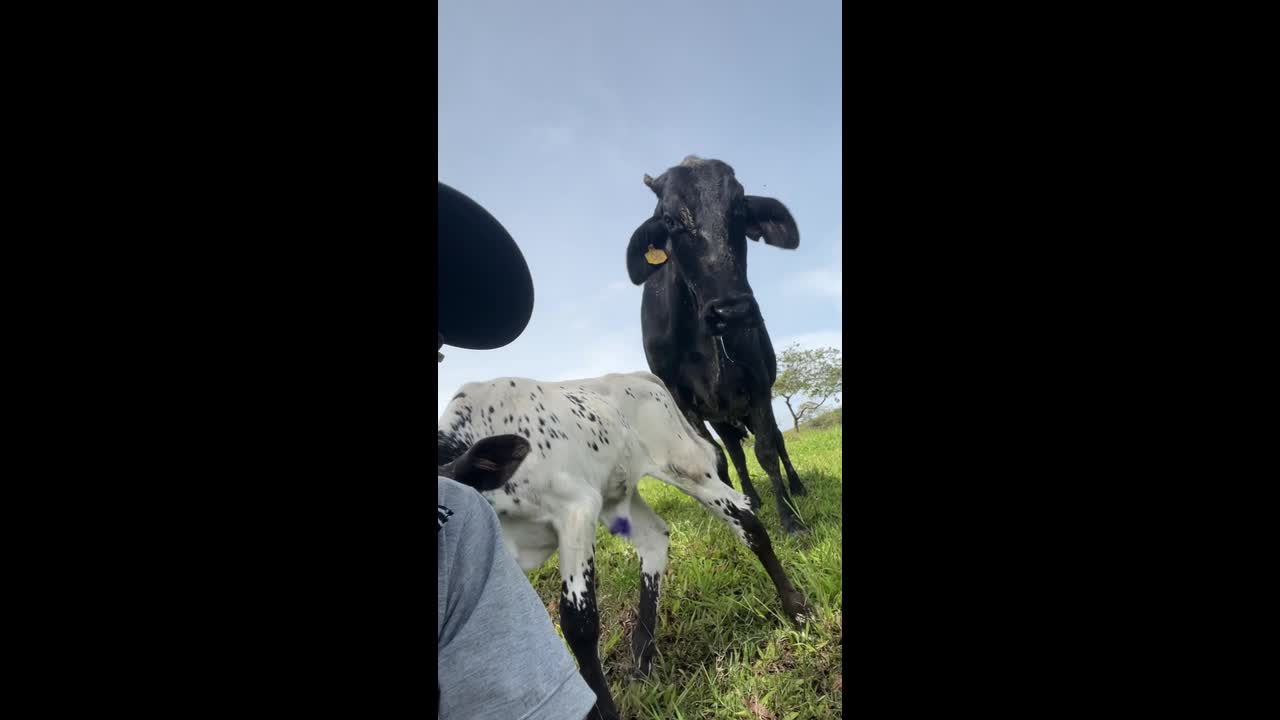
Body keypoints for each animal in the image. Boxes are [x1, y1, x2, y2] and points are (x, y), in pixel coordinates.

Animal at [438, 372, 809, 720]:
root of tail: (635, 376)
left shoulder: (577, 507)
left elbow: (579, 623)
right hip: (620, 494)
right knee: (654, 538)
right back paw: (642, 663)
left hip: (686, 466)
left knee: (746, 521)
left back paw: (797, 609)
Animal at [625, 155, 810, 534]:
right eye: (670, 220)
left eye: (739, 206)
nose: (732, 311)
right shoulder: (683, 399)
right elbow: (720, 459)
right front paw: (740, 517)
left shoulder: (758, 383)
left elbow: (767, 450)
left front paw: (790, 520)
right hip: (722, 415)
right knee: (734, 452)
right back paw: (751, 497)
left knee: (777, 441)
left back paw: (797, 487)